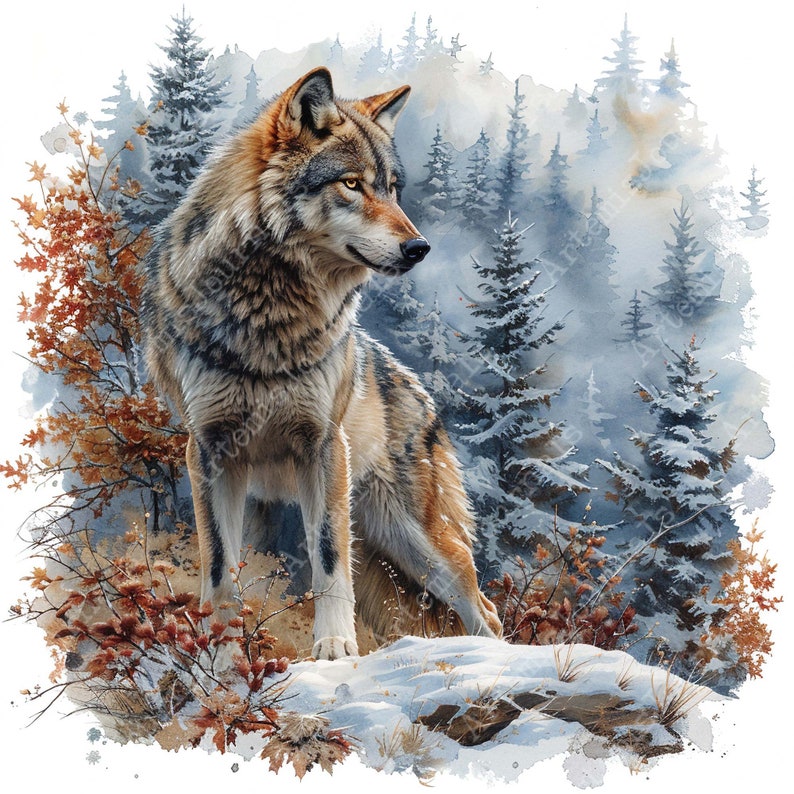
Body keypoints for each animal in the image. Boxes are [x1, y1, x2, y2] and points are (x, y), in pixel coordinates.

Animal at [141, 67, 502, 660]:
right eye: (352, 184)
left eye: (392, 188)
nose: (420, 248)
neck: (269, 314)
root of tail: (423, 396)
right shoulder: (208, 452)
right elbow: (218, 568)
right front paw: (222, 657)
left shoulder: (323, 448)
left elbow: (329, 560)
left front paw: (334, 648)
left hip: (417, 541)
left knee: (486, 610)